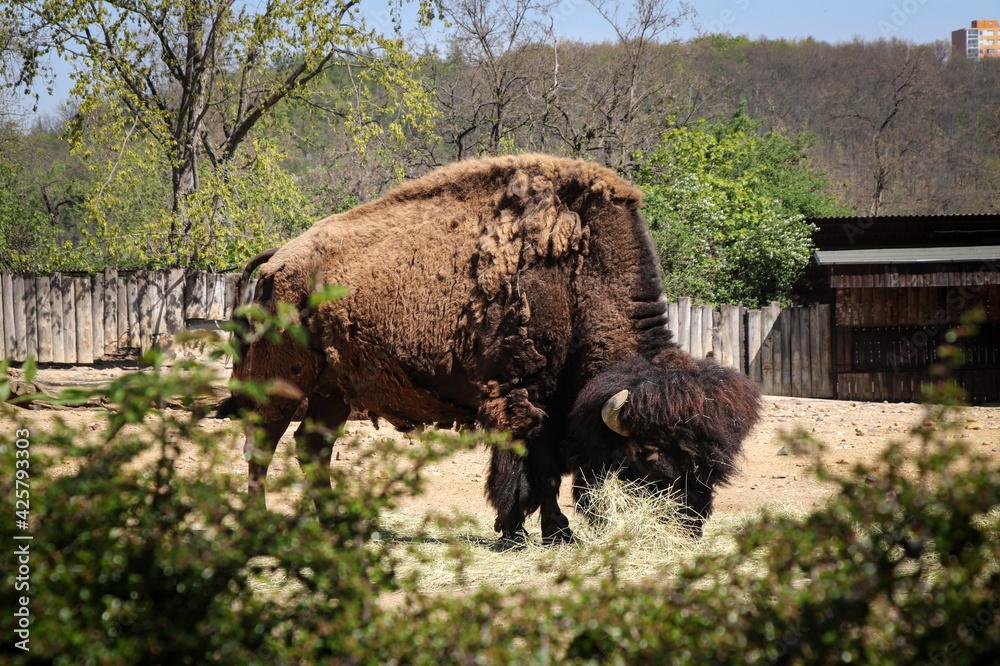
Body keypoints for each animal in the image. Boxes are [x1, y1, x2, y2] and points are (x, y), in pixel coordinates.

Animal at [217, 154, 761, 544]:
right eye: (647, 454)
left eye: (714, 462)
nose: (691, 526)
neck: (577, 278)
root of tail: (279, 261)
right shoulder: (526, 396)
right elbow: (535, 467)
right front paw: (538, 531)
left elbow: (542, 467)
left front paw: (531, 529)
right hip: (282, 383)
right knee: (262, 444)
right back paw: (258, 522)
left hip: (335, 389)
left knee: (312, 447)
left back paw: (335, 523)